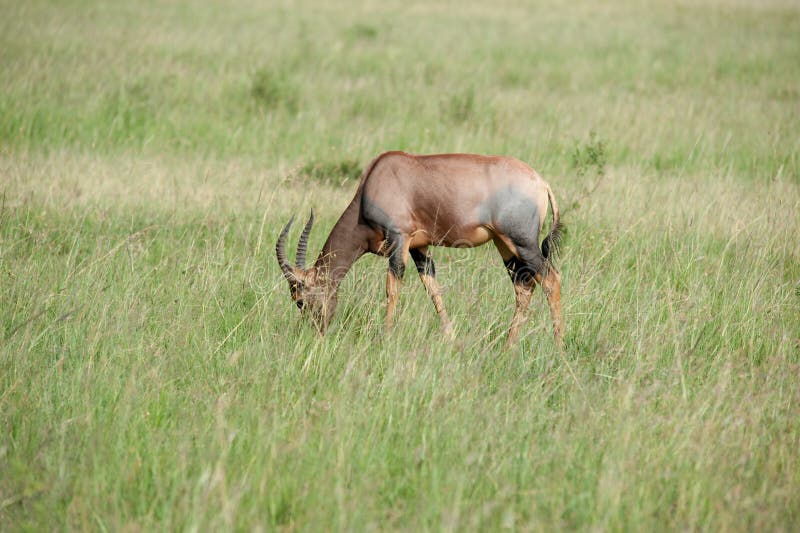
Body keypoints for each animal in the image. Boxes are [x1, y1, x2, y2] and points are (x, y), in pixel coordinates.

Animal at [275, 151, 564, 347]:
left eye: (299, 299)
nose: (316, 333)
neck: (378, 178)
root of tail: (540, 183)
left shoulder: (399, 239)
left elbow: (392, 289)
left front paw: (385, 337)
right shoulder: (419, 247)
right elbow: (432, 289)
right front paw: (451, 338)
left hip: (522, 242)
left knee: (551, 279)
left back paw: (558, 346)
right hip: (503, 244)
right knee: (524, 286)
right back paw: (508, 346)